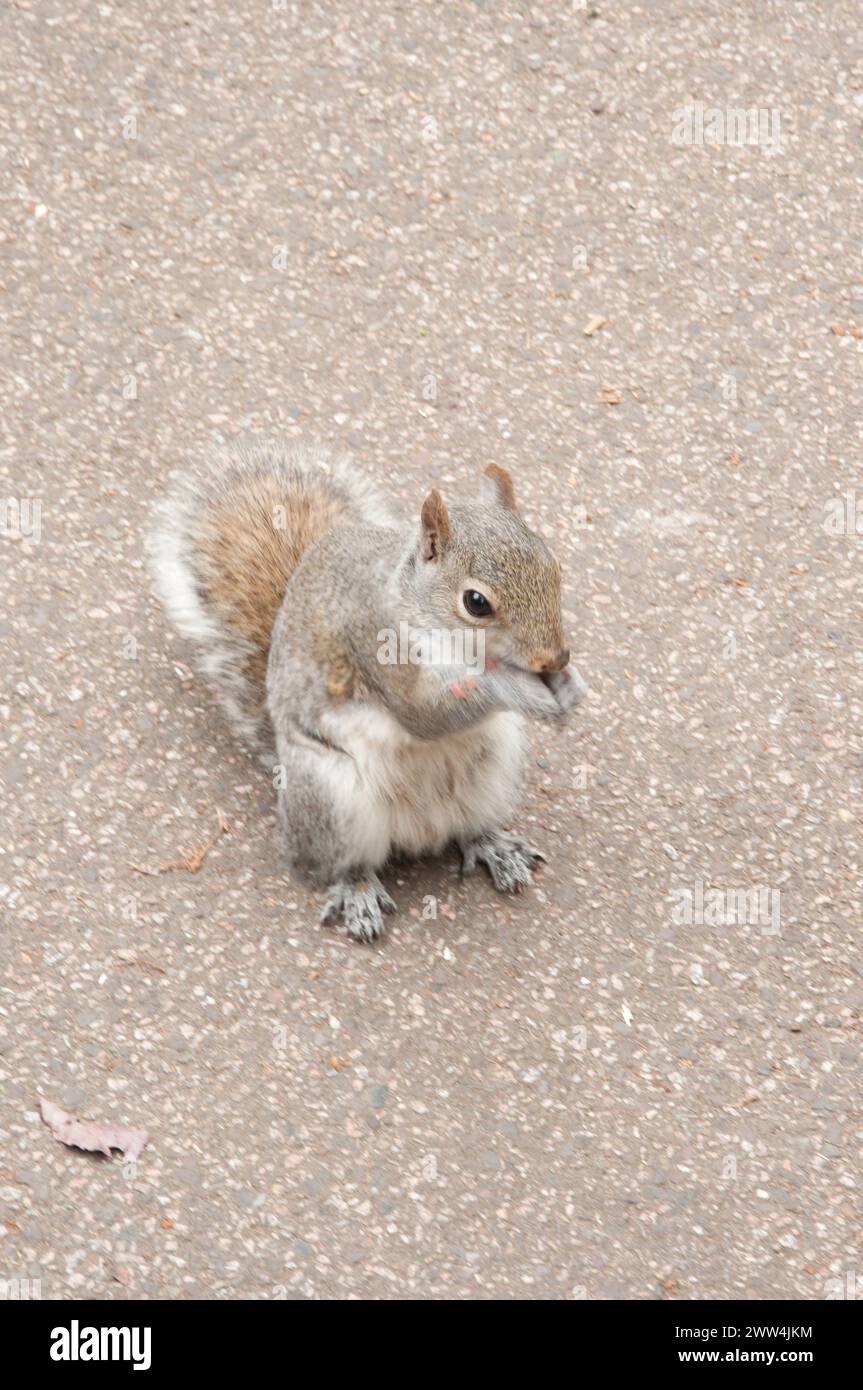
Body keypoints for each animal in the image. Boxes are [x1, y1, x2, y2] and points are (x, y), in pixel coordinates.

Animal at [148, 440, 583, 942]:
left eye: (555, 567)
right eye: (476, 603)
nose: (555, 658)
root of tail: (420, 830)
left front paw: (568, 687)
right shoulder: (374, 643)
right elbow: (425, 713)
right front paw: (523, 690)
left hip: (493, 767)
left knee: (467, 828)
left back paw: (494, 845)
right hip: (333, 798)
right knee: (336, 863)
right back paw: (357, 892)